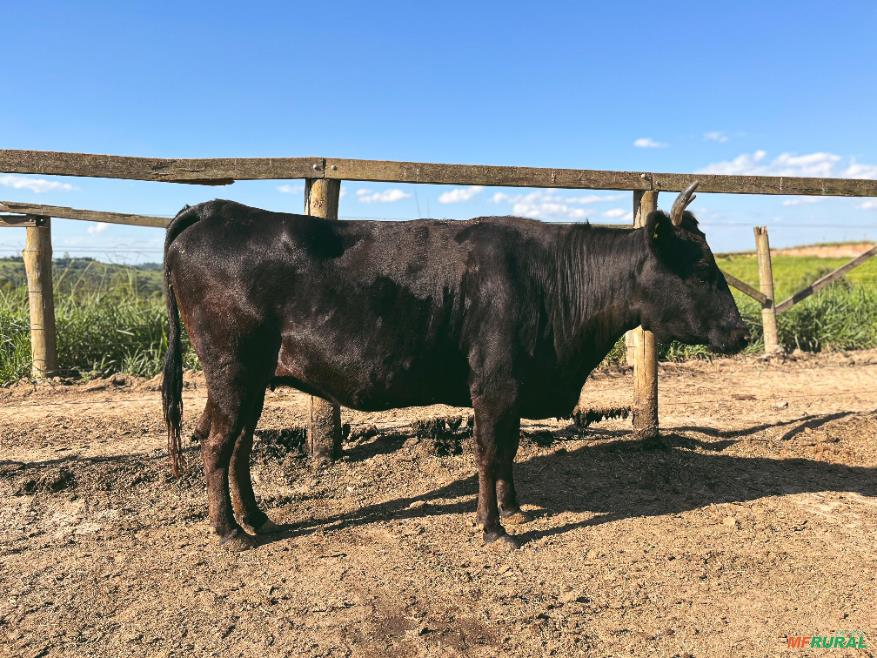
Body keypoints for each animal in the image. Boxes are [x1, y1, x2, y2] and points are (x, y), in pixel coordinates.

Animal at [162, 182, 749, 551]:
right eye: (700, 268)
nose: (742, 333)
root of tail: (218, 209)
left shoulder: (513, 390)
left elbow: (508, 450)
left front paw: (513, 509)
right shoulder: (493, 384)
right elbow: (489, 454)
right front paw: (494, 529)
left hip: (252, 379)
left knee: (238, 444)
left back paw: (256, 519)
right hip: (232, 370)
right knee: (218, 442)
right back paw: (229, 532)